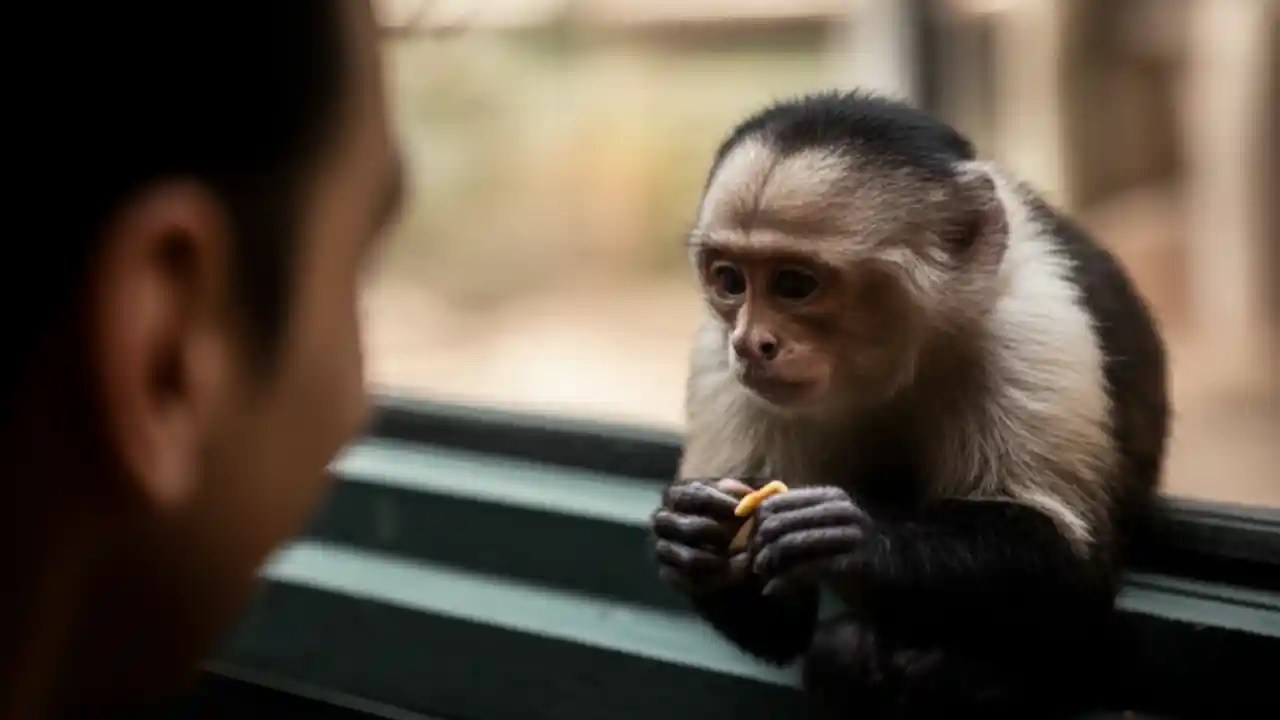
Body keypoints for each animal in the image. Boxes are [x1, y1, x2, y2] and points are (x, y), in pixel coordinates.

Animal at [649, 91, 1169, 718]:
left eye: (795, 284)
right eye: (730, 280)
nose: (751, 343)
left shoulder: (1032, 332)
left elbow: (1075, 575)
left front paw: (859, 540)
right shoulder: (718, 361)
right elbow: (781, 628)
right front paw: (694, 538)